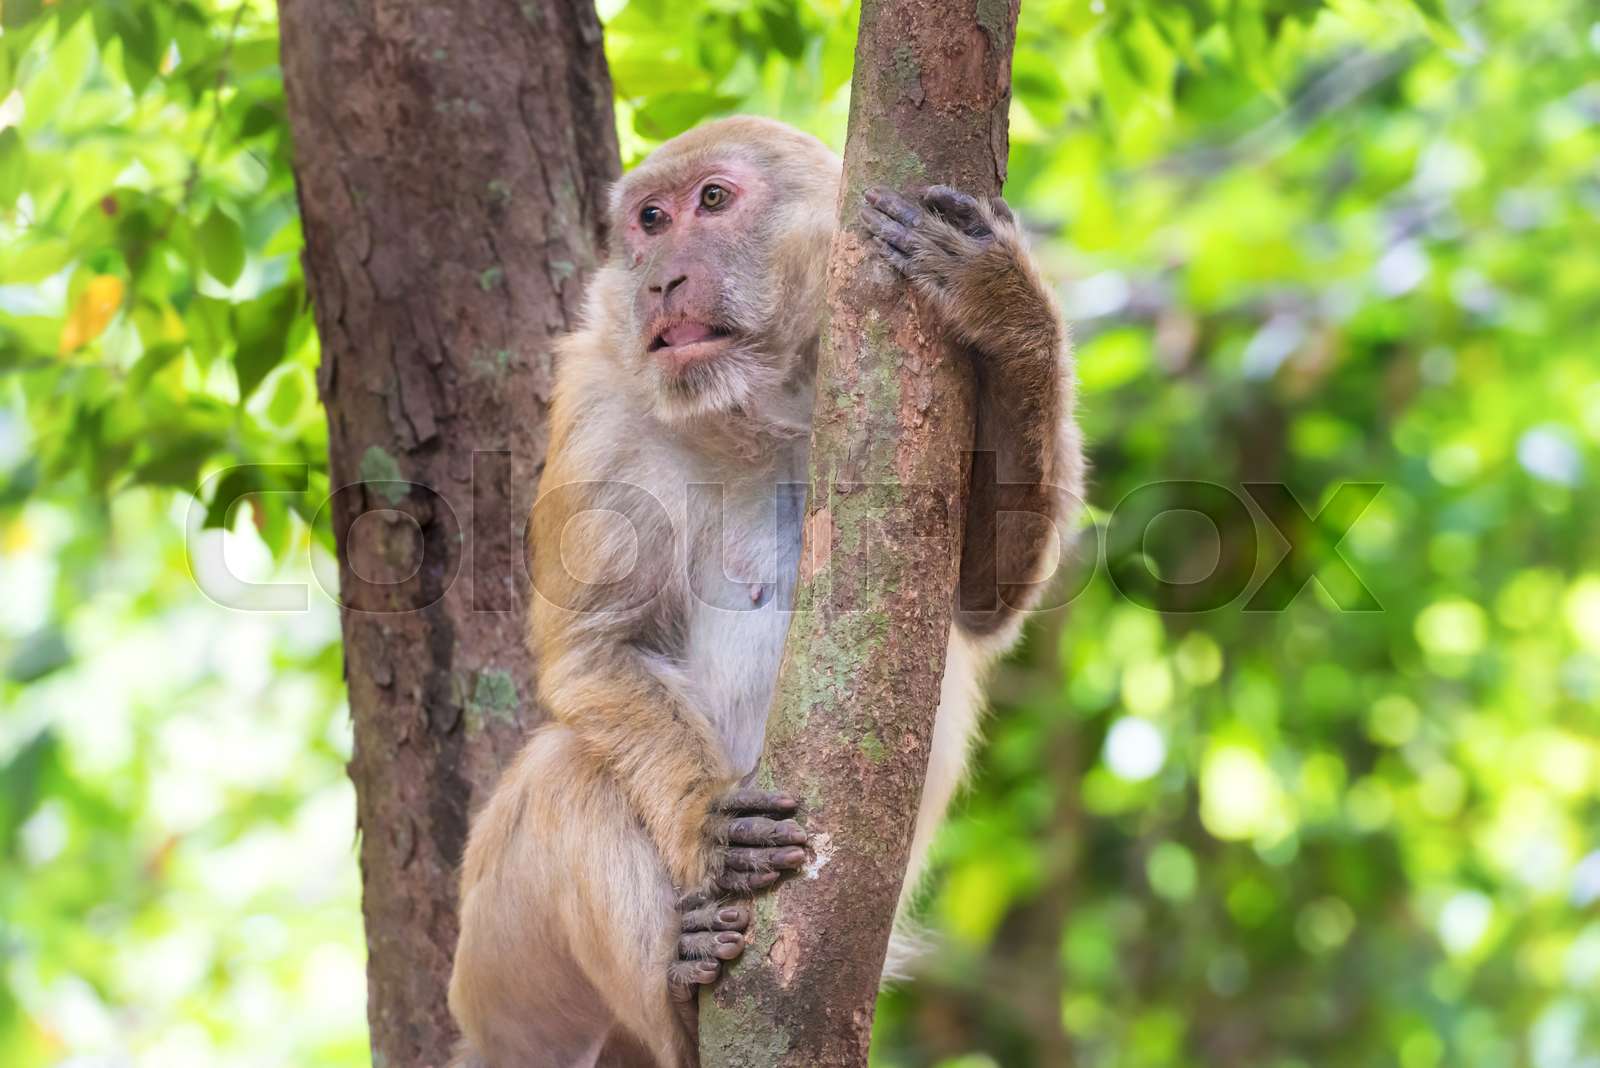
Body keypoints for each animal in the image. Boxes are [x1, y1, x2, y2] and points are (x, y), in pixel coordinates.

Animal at [447, 116, 1084, 1068]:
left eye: (712, 201)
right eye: (650, 219)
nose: (662, 277)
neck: (751, 411)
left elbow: (984, 599)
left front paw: (1004, 306)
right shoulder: (597, 406)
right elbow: (595, 651)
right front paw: (711, 826)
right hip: (497, 975)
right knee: (569, 771)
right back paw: (681, 993)